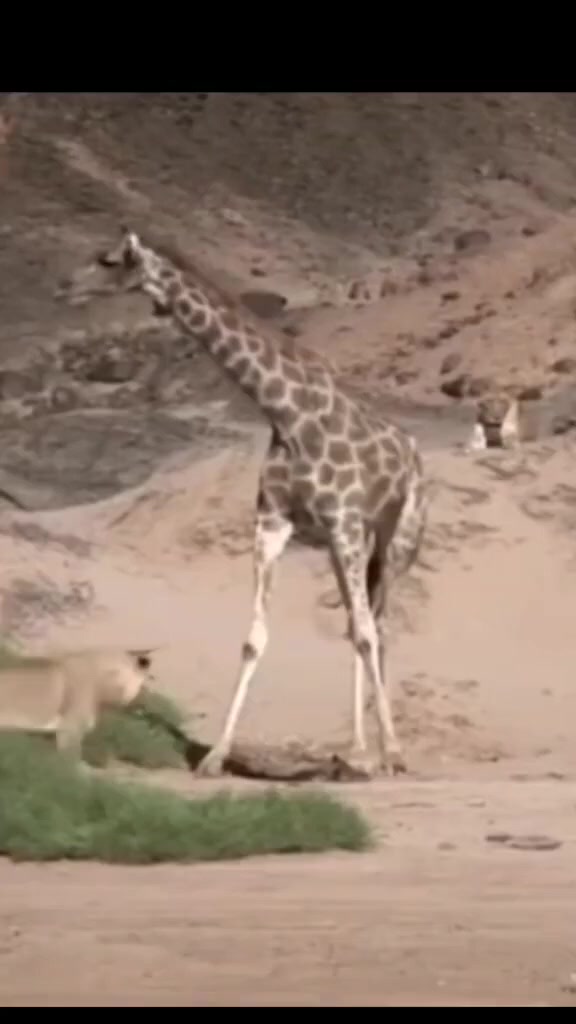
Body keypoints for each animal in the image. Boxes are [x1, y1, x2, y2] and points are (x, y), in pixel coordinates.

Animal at [56, 226, 429, 778]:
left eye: (107, 260)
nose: (65, 287)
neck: (287, 414)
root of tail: (414, 453)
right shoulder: (274, 521)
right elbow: (255, 638)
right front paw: (215, 756)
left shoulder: (341, 518)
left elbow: (366, 632)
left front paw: (396, 755)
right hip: (346, 546)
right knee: (355, 624)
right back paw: (358, 752)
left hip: (395, 538)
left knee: (377, 625)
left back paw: (384, 751)